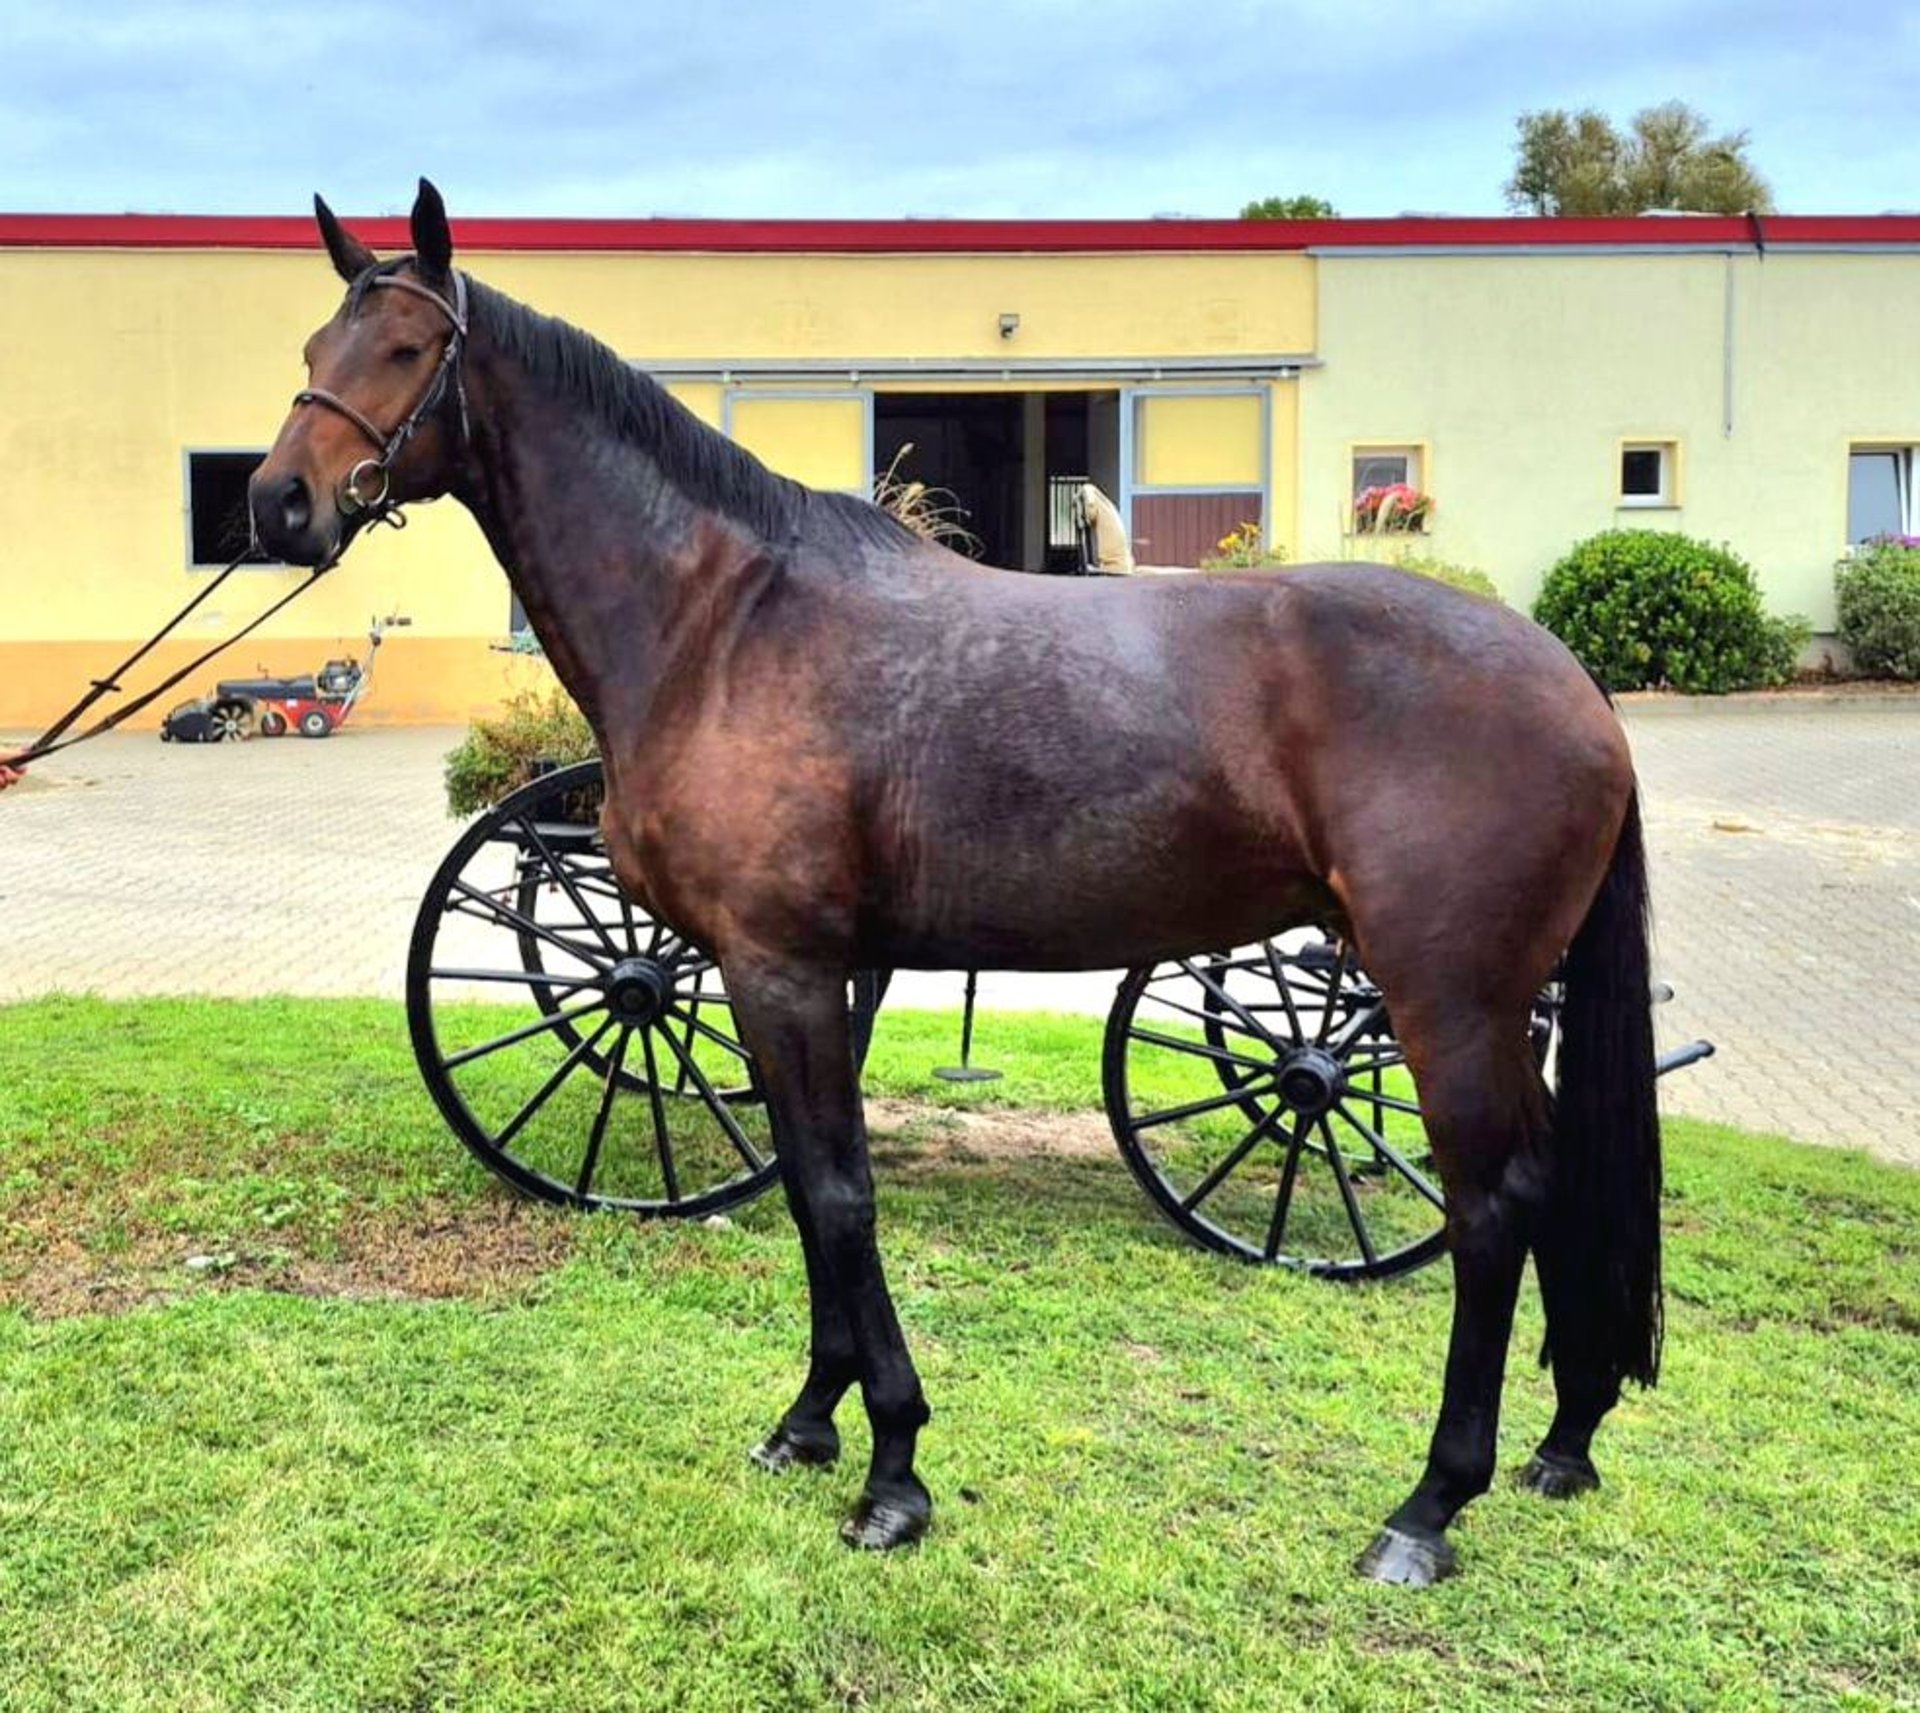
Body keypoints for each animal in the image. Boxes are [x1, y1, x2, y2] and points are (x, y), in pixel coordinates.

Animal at [249, 180, 1663, 1587]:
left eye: (407, 349)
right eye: (313, 344)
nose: (277, 506)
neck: (723, 623)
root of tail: (1571, 683)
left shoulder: (782, 968)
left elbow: (836, 1195)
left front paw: (891, 1471)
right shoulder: (773, 978)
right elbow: (812, 1191)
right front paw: (811, 1424)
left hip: (1445, 1003)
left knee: (1494, 1208)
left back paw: (1429, 1507)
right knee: (1553, 1186)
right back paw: (1563, 1442)